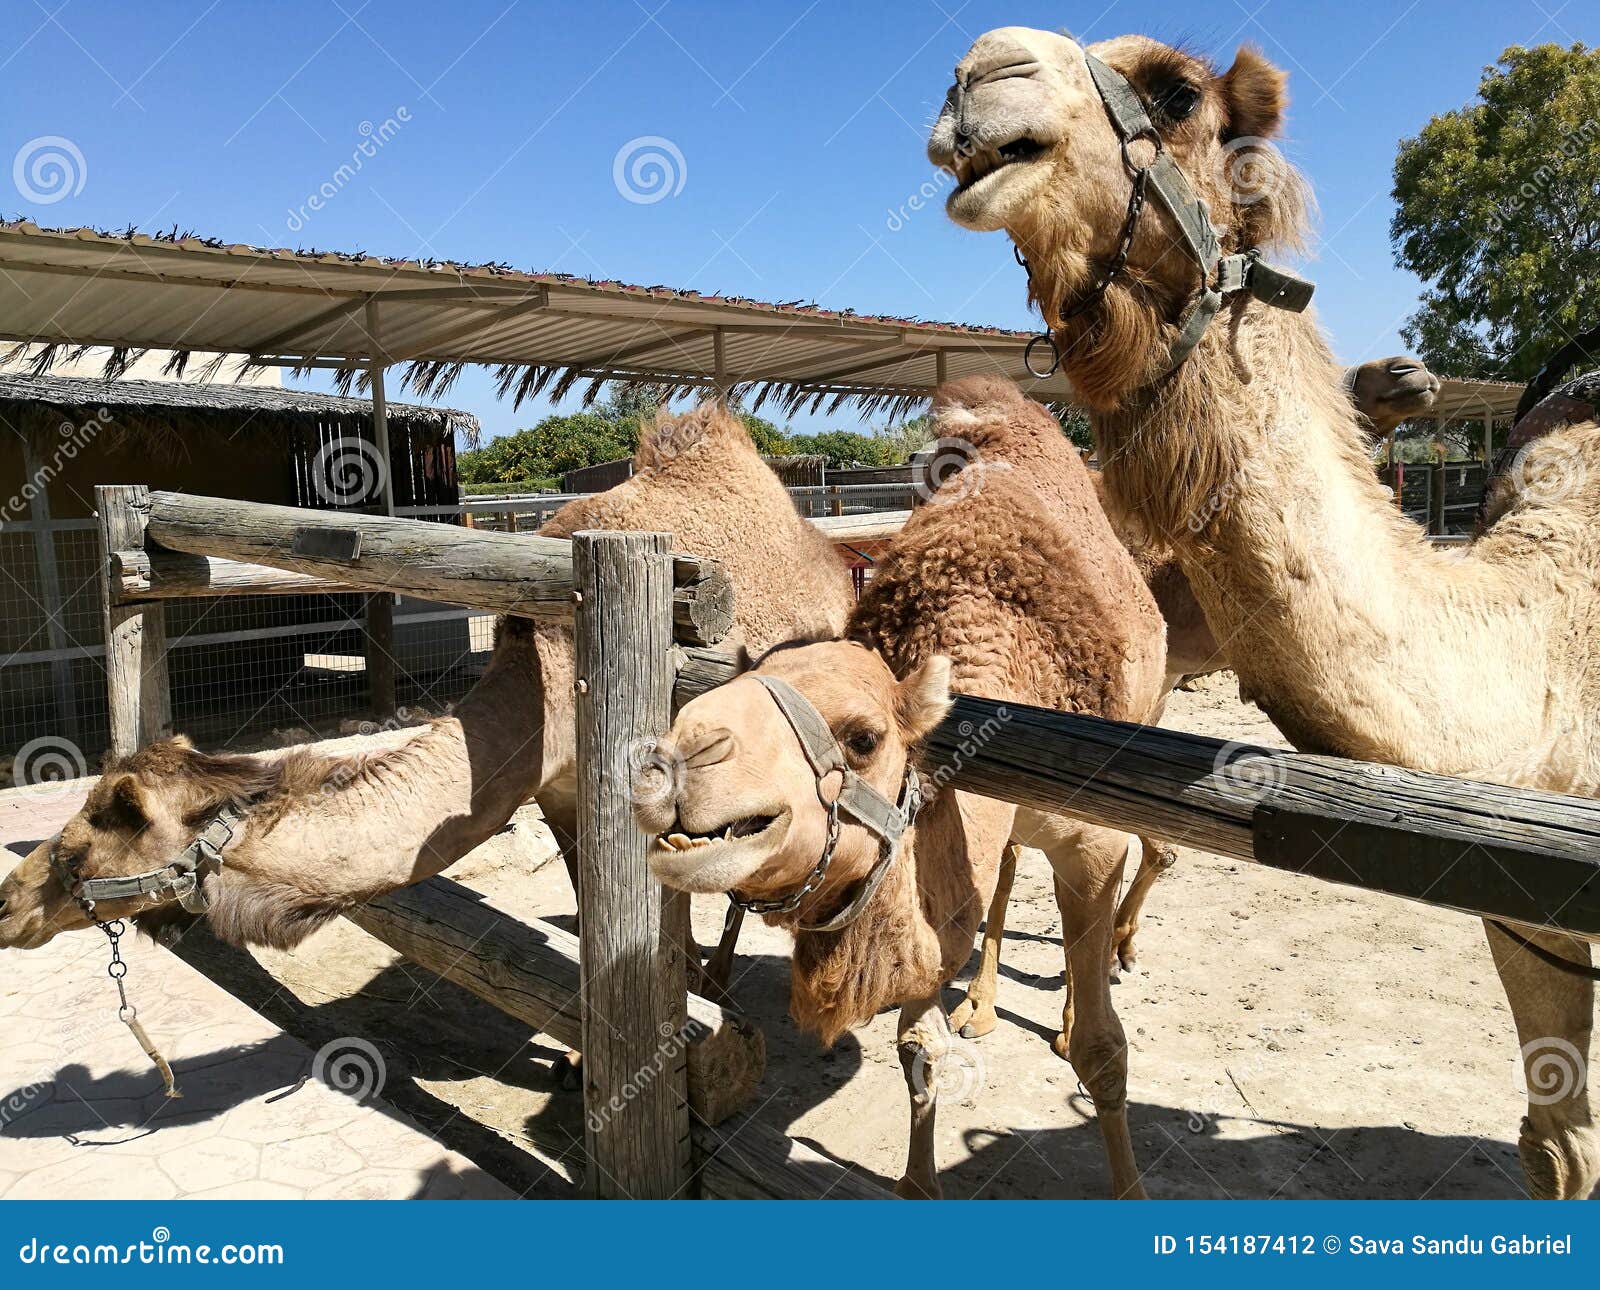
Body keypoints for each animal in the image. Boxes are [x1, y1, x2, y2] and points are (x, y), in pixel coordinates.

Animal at [637, 375, 1168, 1198]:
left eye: (864, 738)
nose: (681, 757)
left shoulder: (1091, 842)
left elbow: (1105, 1053)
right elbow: (920, 1042)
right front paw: (920, 1179)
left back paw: (1091, 981)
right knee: (1007, 870)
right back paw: (983, 1004)